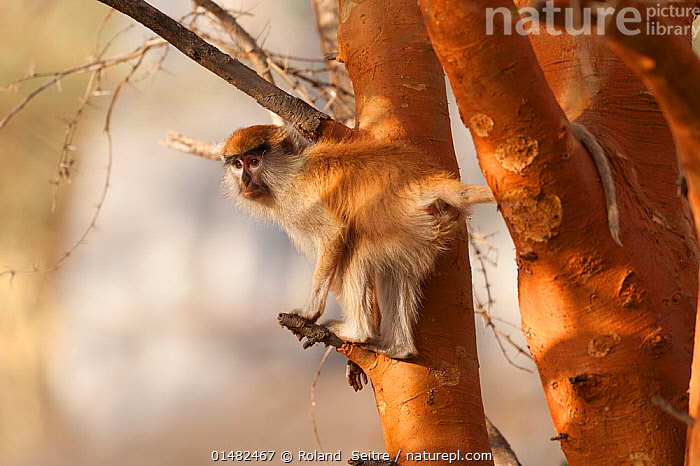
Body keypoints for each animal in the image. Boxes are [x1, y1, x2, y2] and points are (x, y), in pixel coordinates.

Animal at [221, 125, 493, 359]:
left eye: (254, 162)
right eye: (237, 164)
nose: (245, 181)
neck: (294, 169)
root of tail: (422, 179)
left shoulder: (300, 198)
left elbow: (334, 233)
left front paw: (309, 313)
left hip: (394, 216)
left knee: (357, 250)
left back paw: (358, 332)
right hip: (422, 226)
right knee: (396, 269)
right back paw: (398, 348)